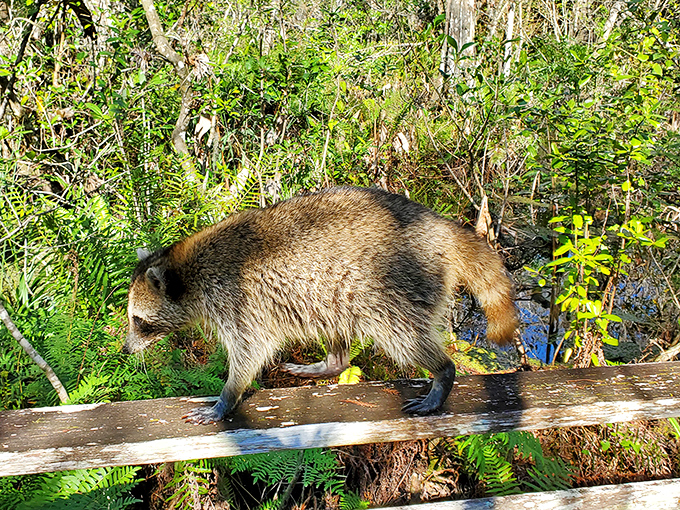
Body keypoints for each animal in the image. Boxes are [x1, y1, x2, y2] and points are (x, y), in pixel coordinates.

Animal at [124, 186, 518, 424]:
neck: (184, 269)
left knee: (402, 335)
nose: (126, 350)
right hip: (337, 291)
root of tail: (439, 227)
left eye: (138, 321)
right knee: (335, 324)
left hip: (396, 283)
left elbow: (250, 351)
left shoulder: (238, 299)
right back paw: (332, 362)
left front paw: (227, 397)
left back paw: (442, 374)